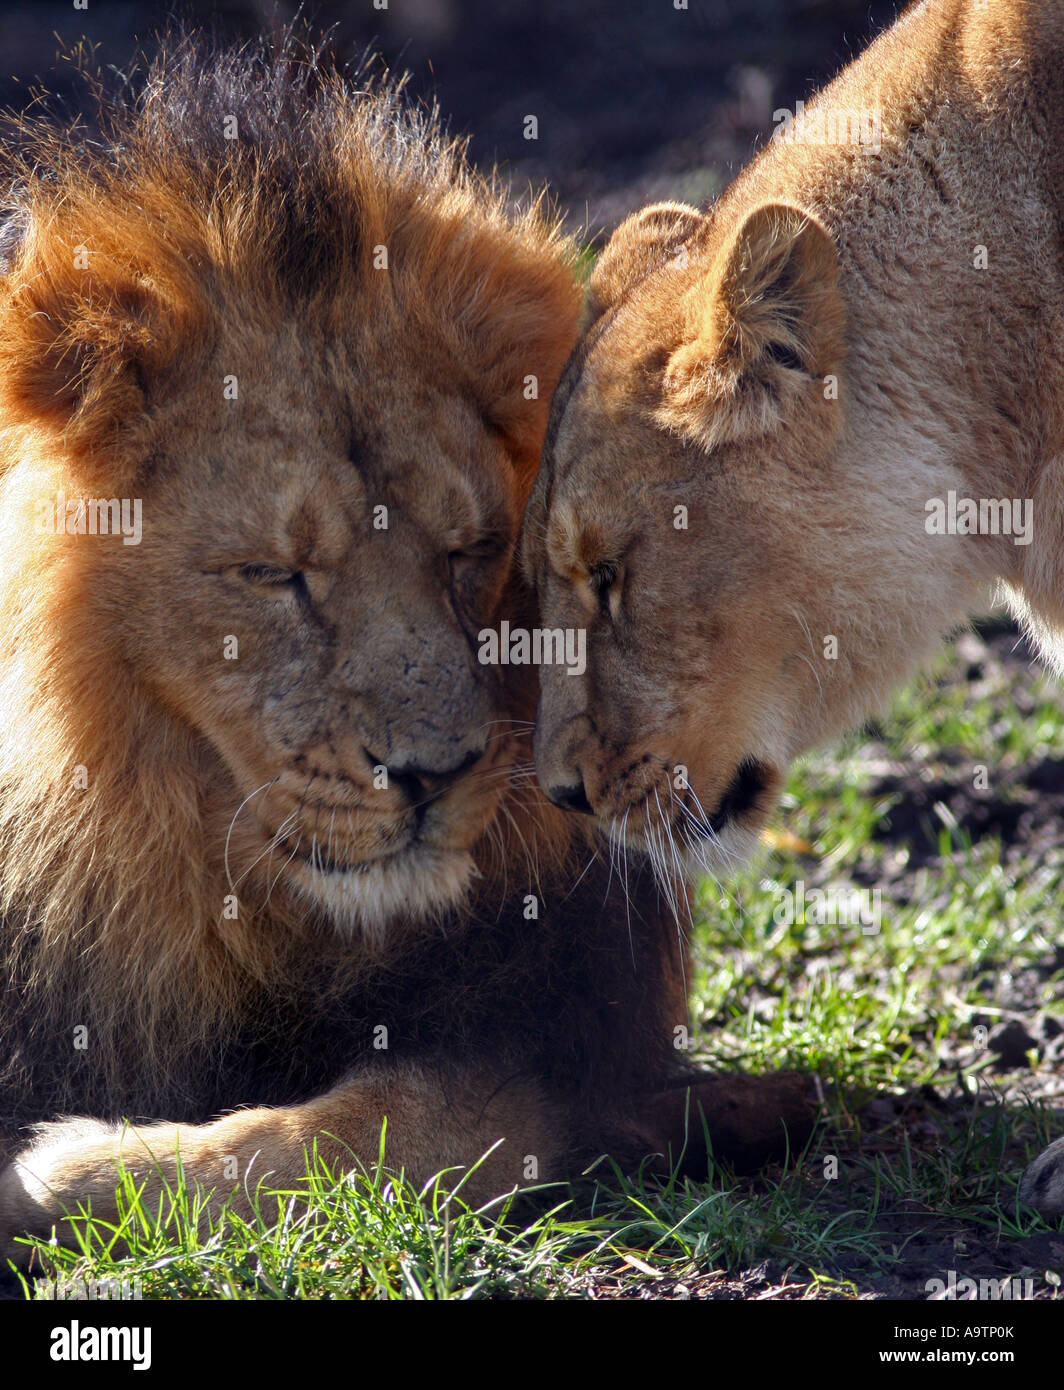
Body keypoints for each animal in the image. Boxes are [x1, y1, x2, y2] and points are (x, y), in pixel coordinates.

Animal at [0, 38, 810, 1264]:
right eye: (273, 574)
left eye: (469, 551)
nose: (433, 777)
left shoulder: (561, 1031)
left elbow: (388, 1125)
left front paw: (74, 1170)